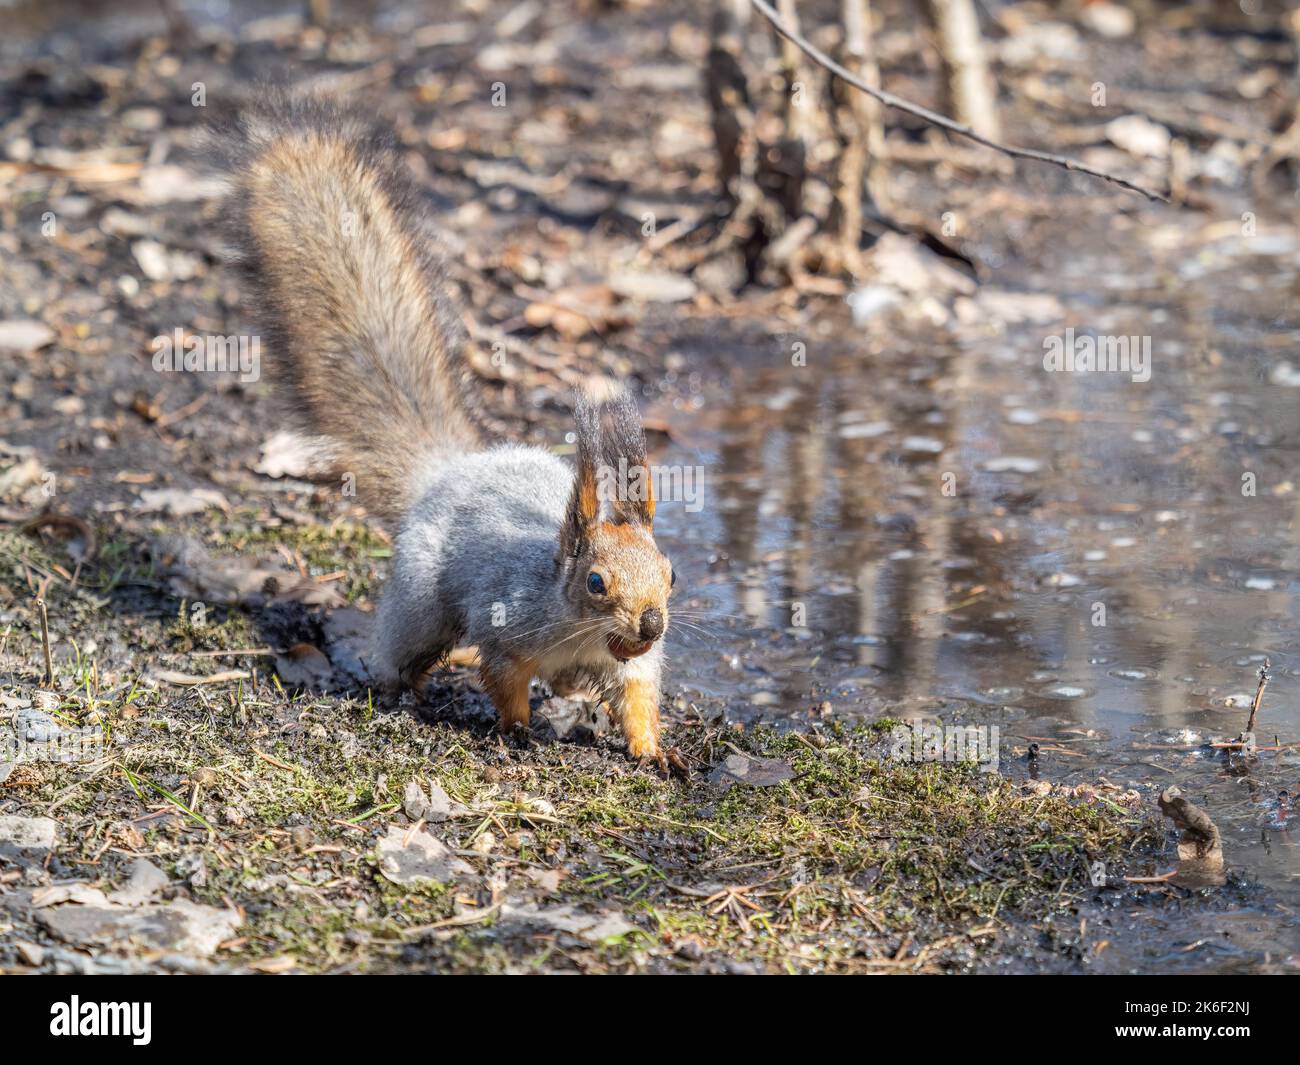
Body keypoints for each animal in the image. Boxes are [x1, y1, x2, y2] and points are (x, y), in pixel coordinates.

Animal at [212, 97, 678, 768]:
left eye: (672, 573)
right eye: (596, 582)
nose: (651, 625)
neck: (585, 632)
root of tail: (448, 472)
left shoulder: (632, 667)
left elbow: (638, 702)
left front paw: (655, 753)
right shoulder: (507, 626)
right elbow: (505, 679)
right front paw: (517, 730)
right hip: (419, 600)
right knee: (403, 649)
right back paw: (398, 689)